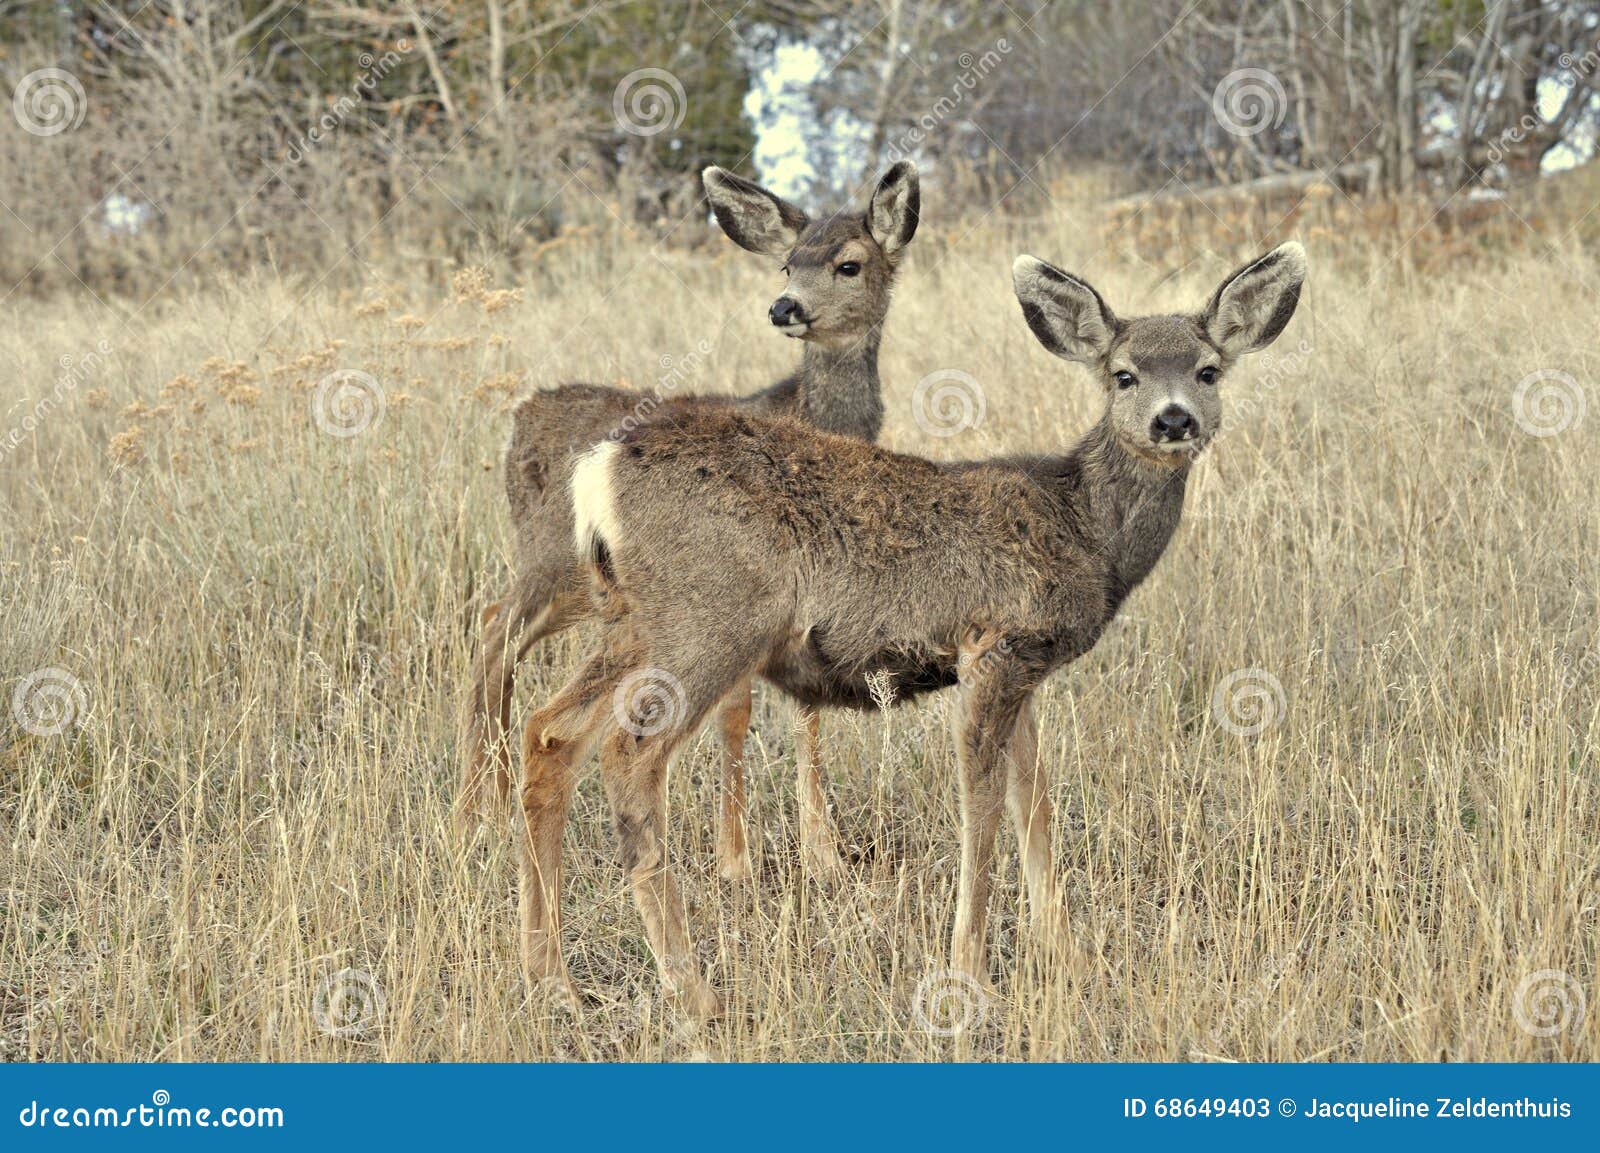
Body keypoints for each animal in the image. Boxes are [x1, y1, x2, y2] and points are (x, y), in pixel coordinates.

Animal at [458, 162, 921, 884]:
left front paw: (824, 854)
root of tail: (520, 419)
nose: (784, 307)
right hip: (550, 558)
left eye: (849, 263)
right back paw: (473, 817)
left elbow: (809, 713)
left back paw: (492, 805)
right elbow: (737, 712)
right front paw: (736, 859)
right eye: (788, 261)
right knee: (493, 634)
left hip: (585, 589)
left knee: (494, 629)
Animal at [511, 242, 1307, 1016]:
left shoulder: (1027, 668)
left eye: (1208, 369)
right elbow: (983, 816)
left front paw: (1069, 956)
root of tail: (600, 467)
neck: (1085, 527)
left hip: (633, 620)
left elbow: (1036, 806)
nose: (1173, 419)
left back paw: (553, 980)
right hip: (712, 616)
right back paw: (693, 991)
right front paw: (970, 972)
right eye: (1123, 375)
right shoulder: (993, 646)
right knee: (628, 754)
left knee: (551, 731)